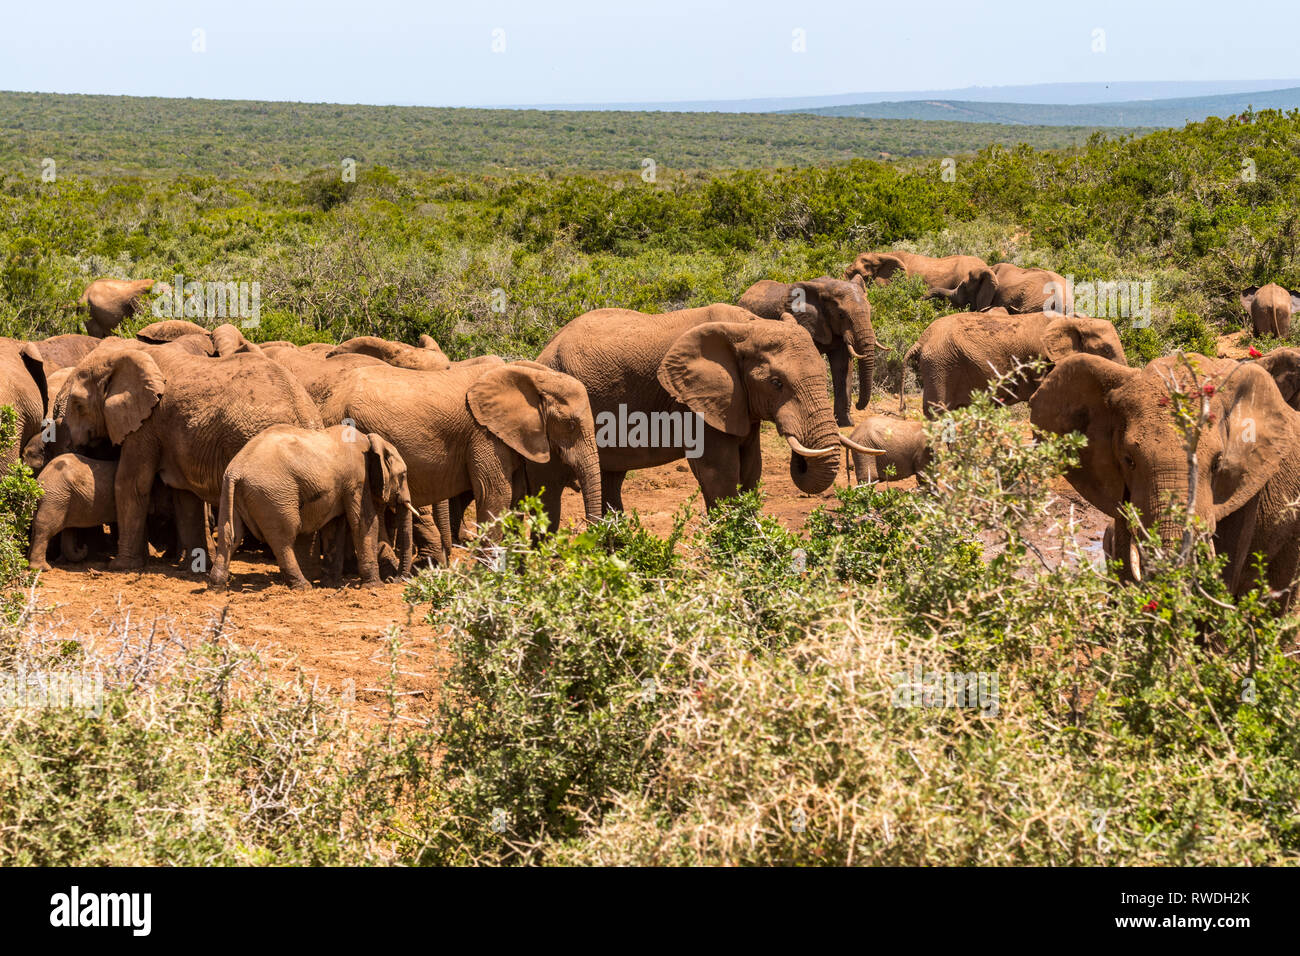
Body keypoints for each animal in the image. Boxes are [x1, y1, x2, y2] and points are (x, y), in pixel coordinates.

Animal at [54, 327, 323, 569]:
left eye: (78, 404)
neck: (126, 353)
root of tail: (305, 415)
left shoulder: (147, 424)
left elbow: (131, 483)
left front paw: (120, 566)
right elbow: (184, 495)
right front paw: (193, 567)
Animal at [209, 425, 416, 591]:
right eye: (403, 475)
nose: (393, 579)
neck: (370, 441)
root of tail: (236, 468)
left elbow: (335, 526)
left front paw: (331, 584)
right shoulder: (358, 479)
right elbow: (363, 523)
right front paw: (375, 586)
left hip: (232, 490)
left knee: (232, 535)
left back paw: (216, 587)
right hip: (273, 495)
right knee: (284, 538)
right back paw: (303, 586)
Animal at [532, 303, 879, 527]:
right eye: (777, 383)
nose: (802, 459)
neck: (747, 327)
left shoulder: (738, 403)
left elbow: (751, 469)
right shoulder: (694, 401)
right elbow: (719, 473)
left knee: (610, 479)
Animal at [738, 275, 886, 426]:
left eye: (870, 310)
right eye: (841, 315)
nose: (858, 405)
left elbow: (842, 366)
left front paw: (846, 423)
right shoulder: (805, 322)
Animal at [899, 310, 1128, 417]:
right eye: (1106, 350)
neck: (1071, 321)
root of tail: (921, 339)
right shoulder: (1040, 360)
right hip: (940, 366)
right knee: (938, 414)